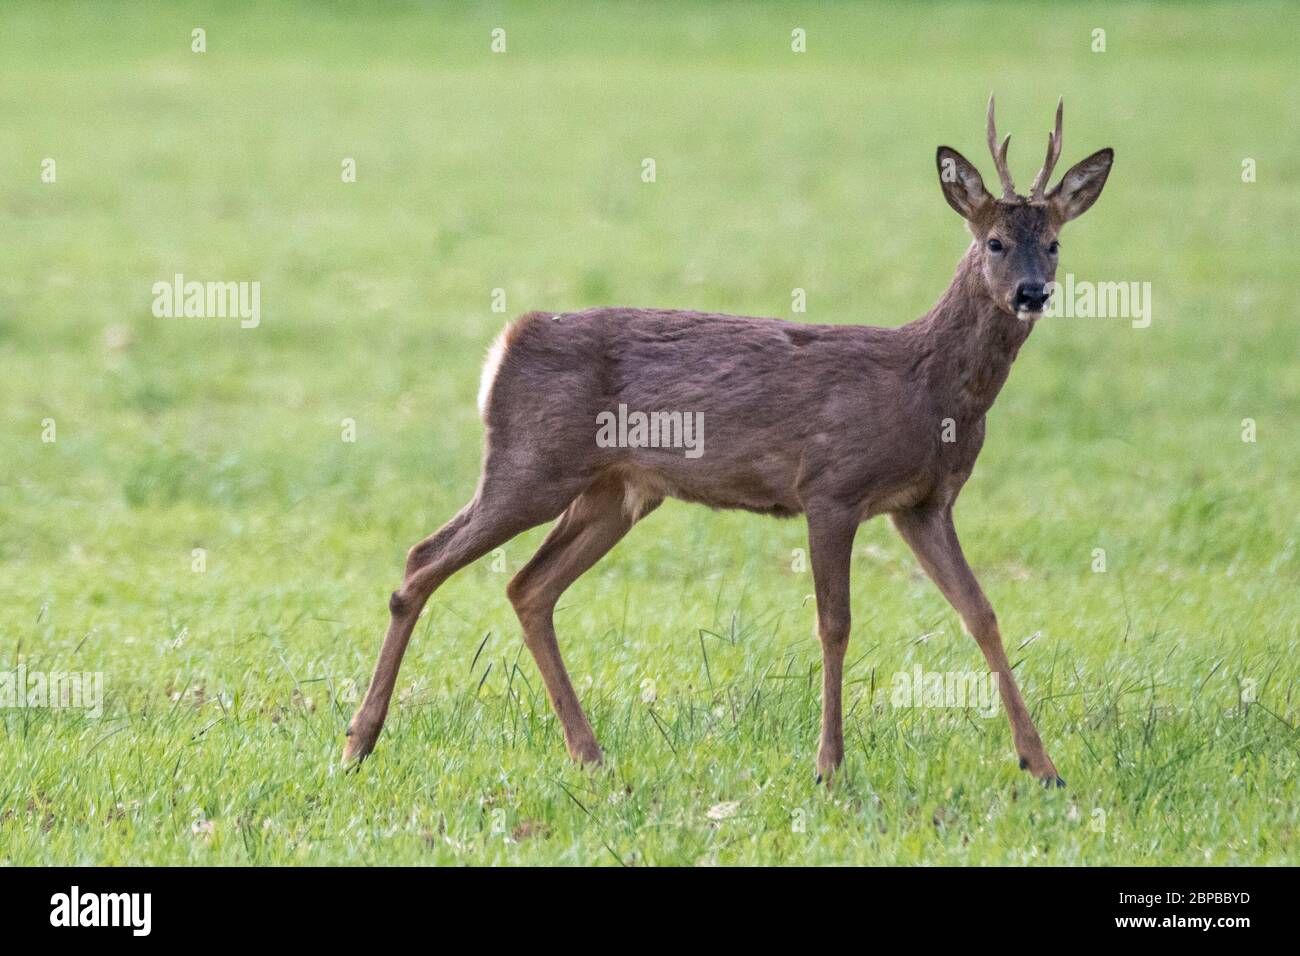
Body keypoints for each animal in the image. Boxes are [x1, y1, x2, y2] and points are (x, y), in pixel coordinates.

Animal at [343, 97, 1112, 788]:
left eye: (1054, 242)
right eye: (993, 242)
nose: (1033, 292)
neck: (927, 389)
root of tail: (506, 342)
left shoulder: (924, 504)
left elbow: (982, 613)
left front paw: (1043, 767)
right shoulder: (831, 486)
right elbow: (835, 624)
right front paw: (829, 767)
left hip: (615, 491)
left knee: (527, 586)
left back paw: (588, 755)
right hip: (531, 461)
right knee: (423, 560)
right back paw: (360, 741)